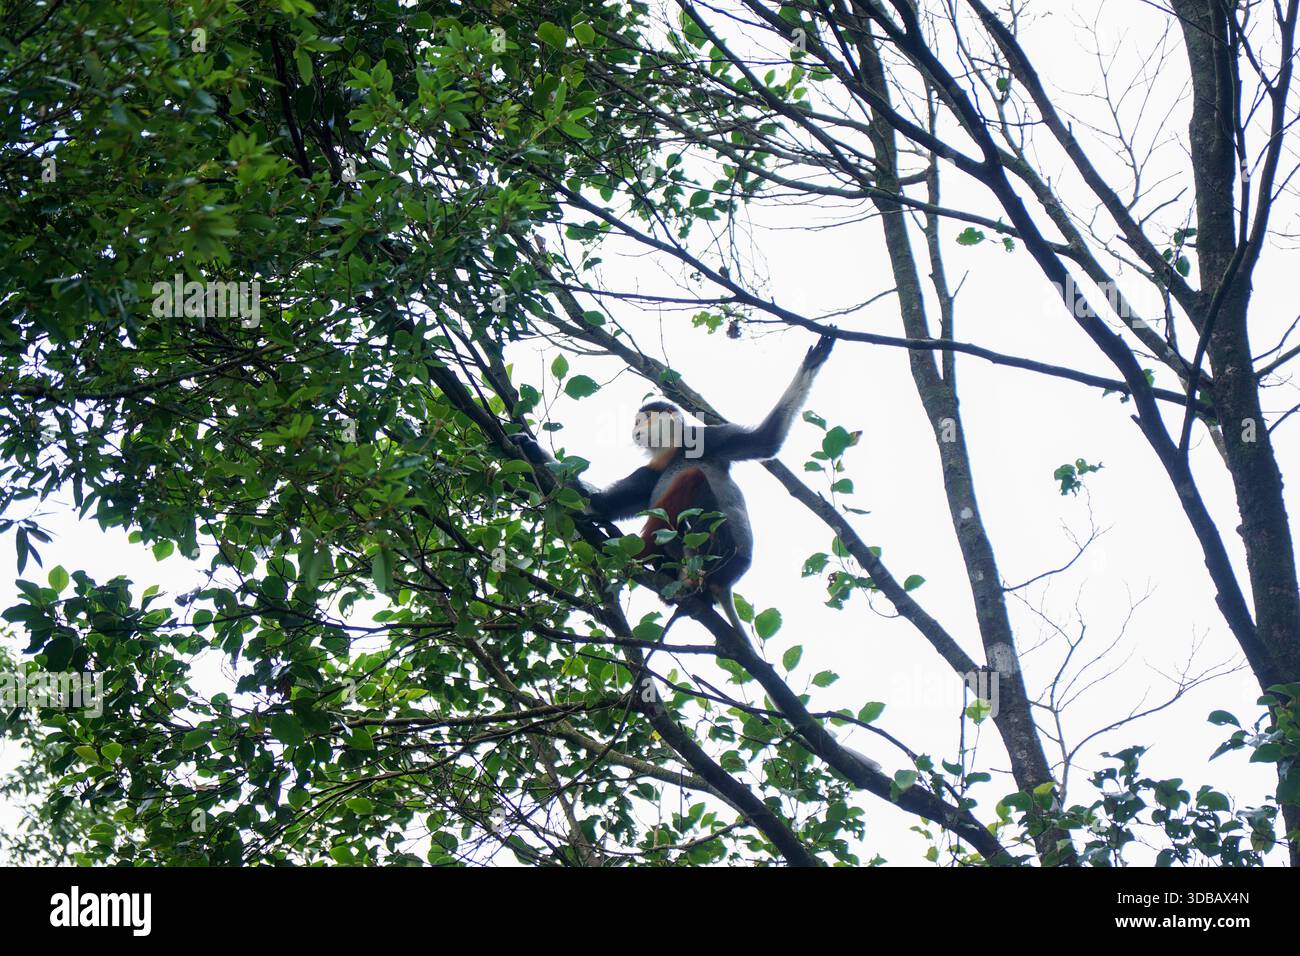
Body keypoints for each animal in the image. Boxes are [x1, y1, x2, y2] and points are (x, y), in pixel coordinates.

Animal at [513, 332, 836, 638]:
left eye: (643, 420)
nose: (636, 430)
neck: (674, 451)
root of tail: (727, 582)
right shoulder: (652, 470)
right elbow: (604, 503)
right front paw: (531, 449)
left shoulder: (707, 439)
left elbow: (767, 439)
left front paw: (813, 361)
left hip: (718, 549)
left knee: (693, 479)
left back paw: (639, 551)